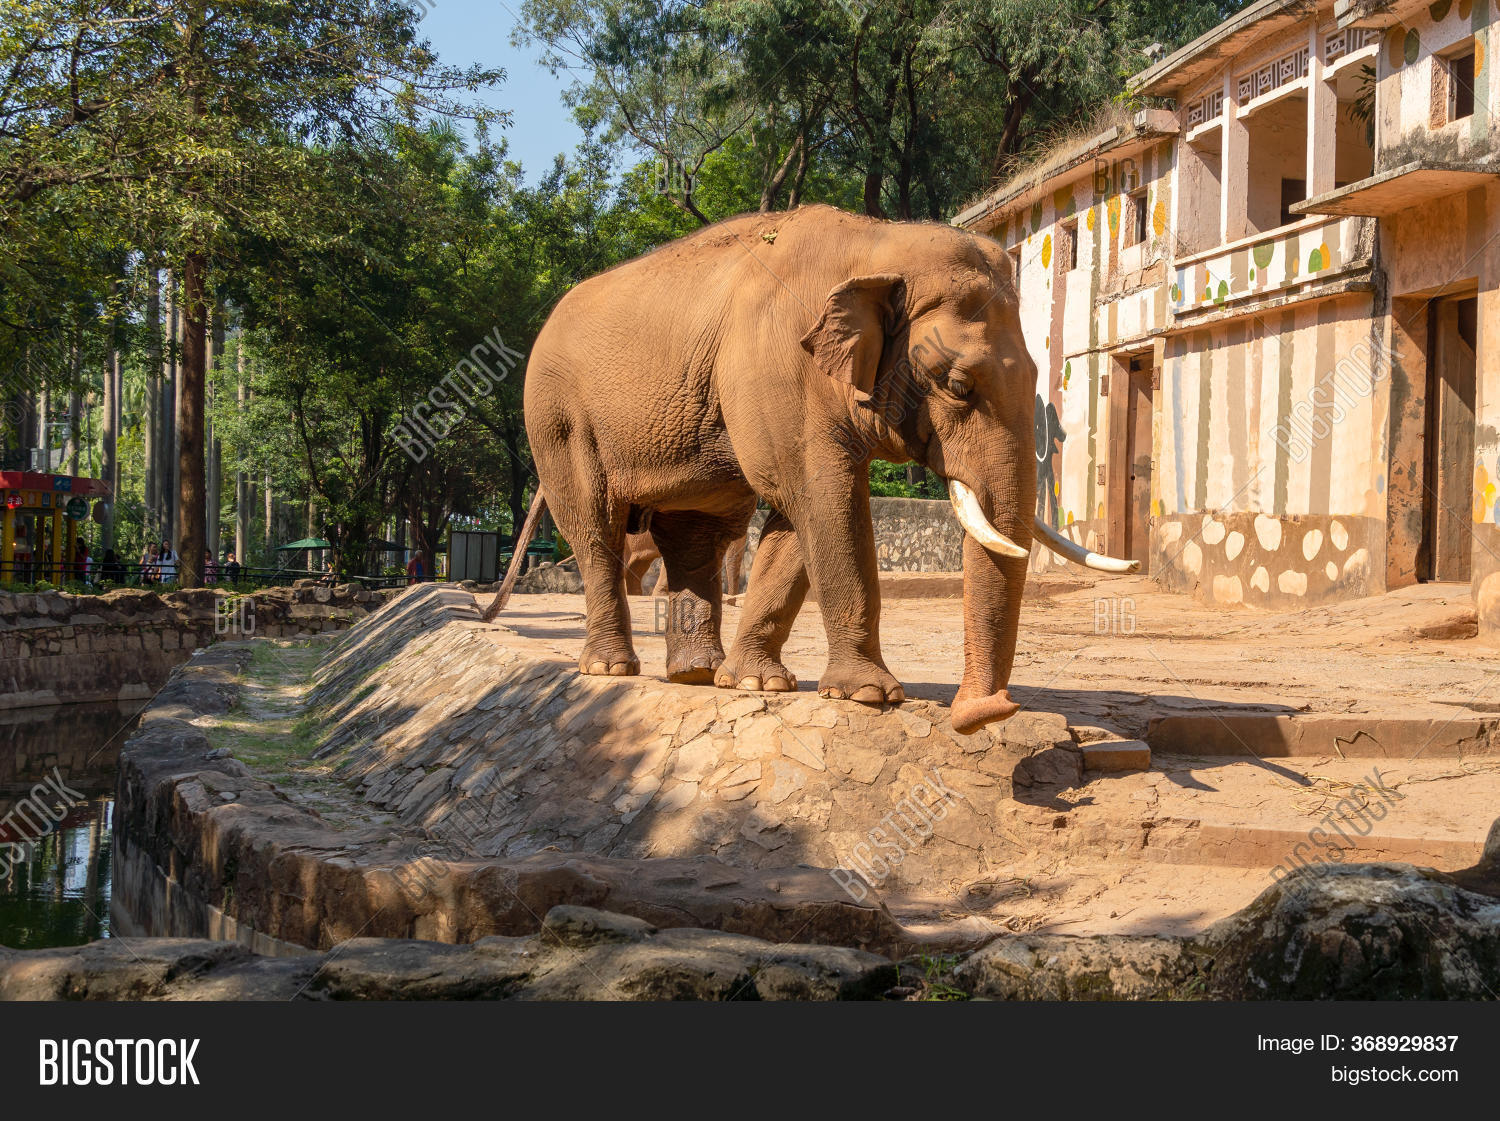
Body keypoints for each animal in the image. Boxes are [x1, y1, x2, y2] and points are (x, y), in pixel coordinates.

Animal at [512, 205, 1135, 735]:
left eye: (1036, 375)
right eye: (959, 386)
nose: (988, 711)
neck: (876, 242)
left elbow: (798, 520)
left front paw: (757, 684)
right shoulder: (780, 366)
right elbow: (824, 498)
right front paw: (870, 695)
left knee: (695, 532)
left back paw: (695, 675)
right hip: (558, 421)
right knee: (596, 528)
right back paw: (610, 669)